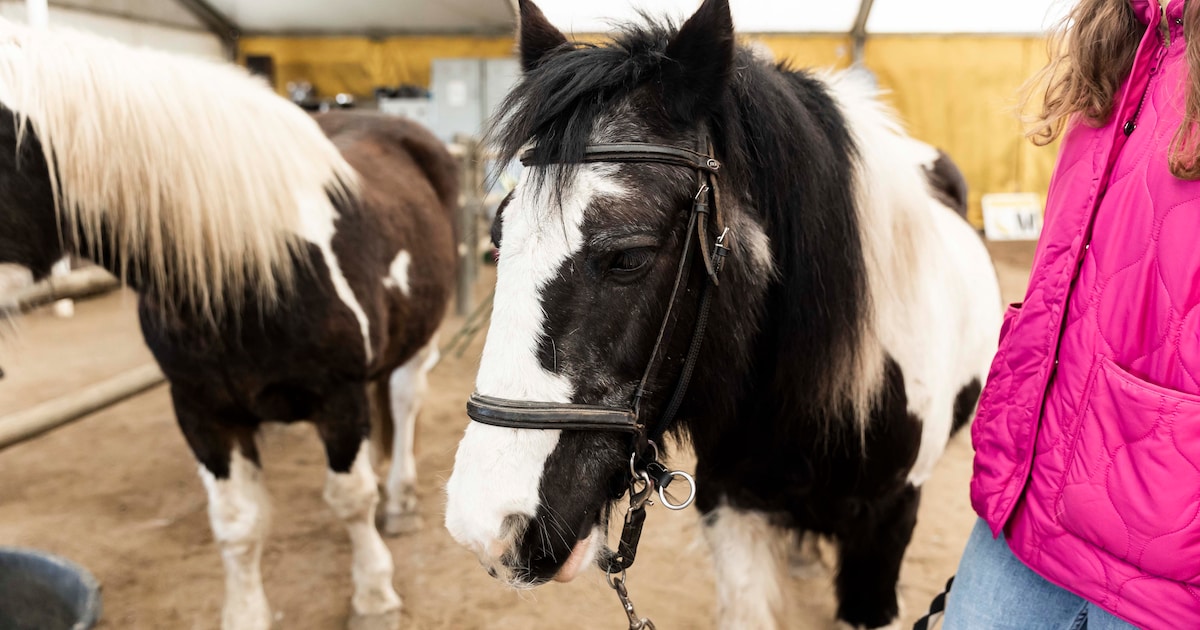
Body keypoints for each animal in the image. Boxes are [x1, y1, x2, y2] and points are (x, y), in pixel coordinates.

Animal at [0, 20, 457, 630]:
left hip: (420, 340)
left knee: (406, 402)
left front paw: (374, 596)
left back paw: (402, 500)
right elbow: (238, 523)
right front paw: (246, 612)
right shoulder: (203, 413)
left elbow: (350, 500)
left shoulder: (339, 400)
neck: (258, 269)